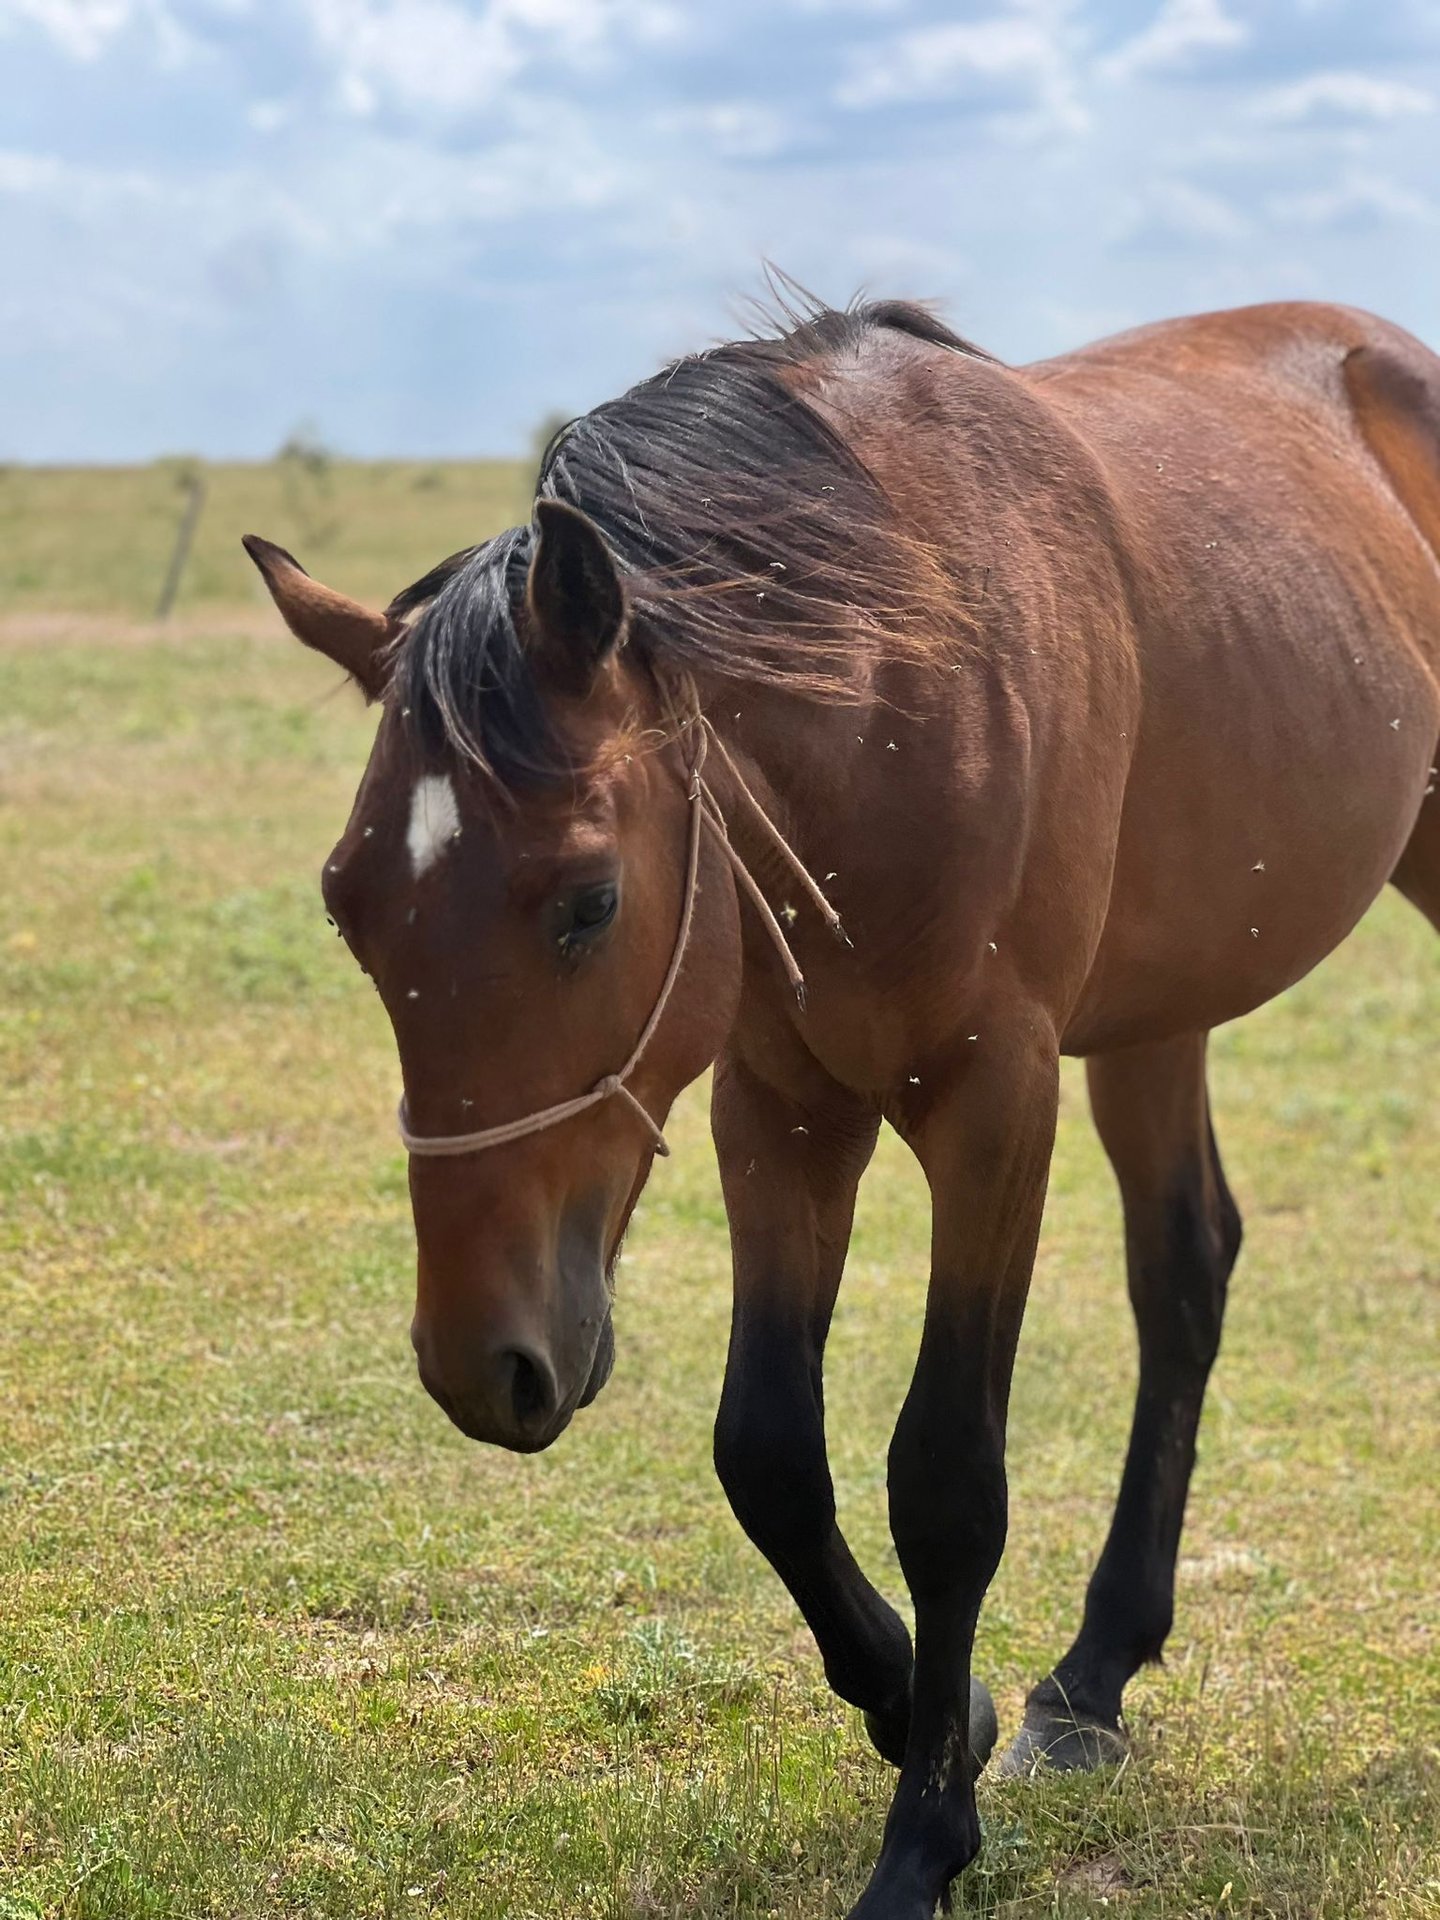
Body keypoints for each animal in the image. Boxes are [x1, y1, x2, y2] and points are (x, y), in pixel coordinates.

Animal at [245, 293, 1440, 1919]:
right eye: (348, 907)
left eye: (588, 901)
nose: (482, 1365)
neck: (897, 692)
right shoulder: (781, 1108)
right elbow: (767, 1454)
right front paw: (930, 1706)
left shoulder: (995, 1105)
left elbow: (943, 1480)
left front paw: (924, 1839)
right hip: (1159, 1008)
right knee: (1186, 1272)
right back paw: (1091, 1680)